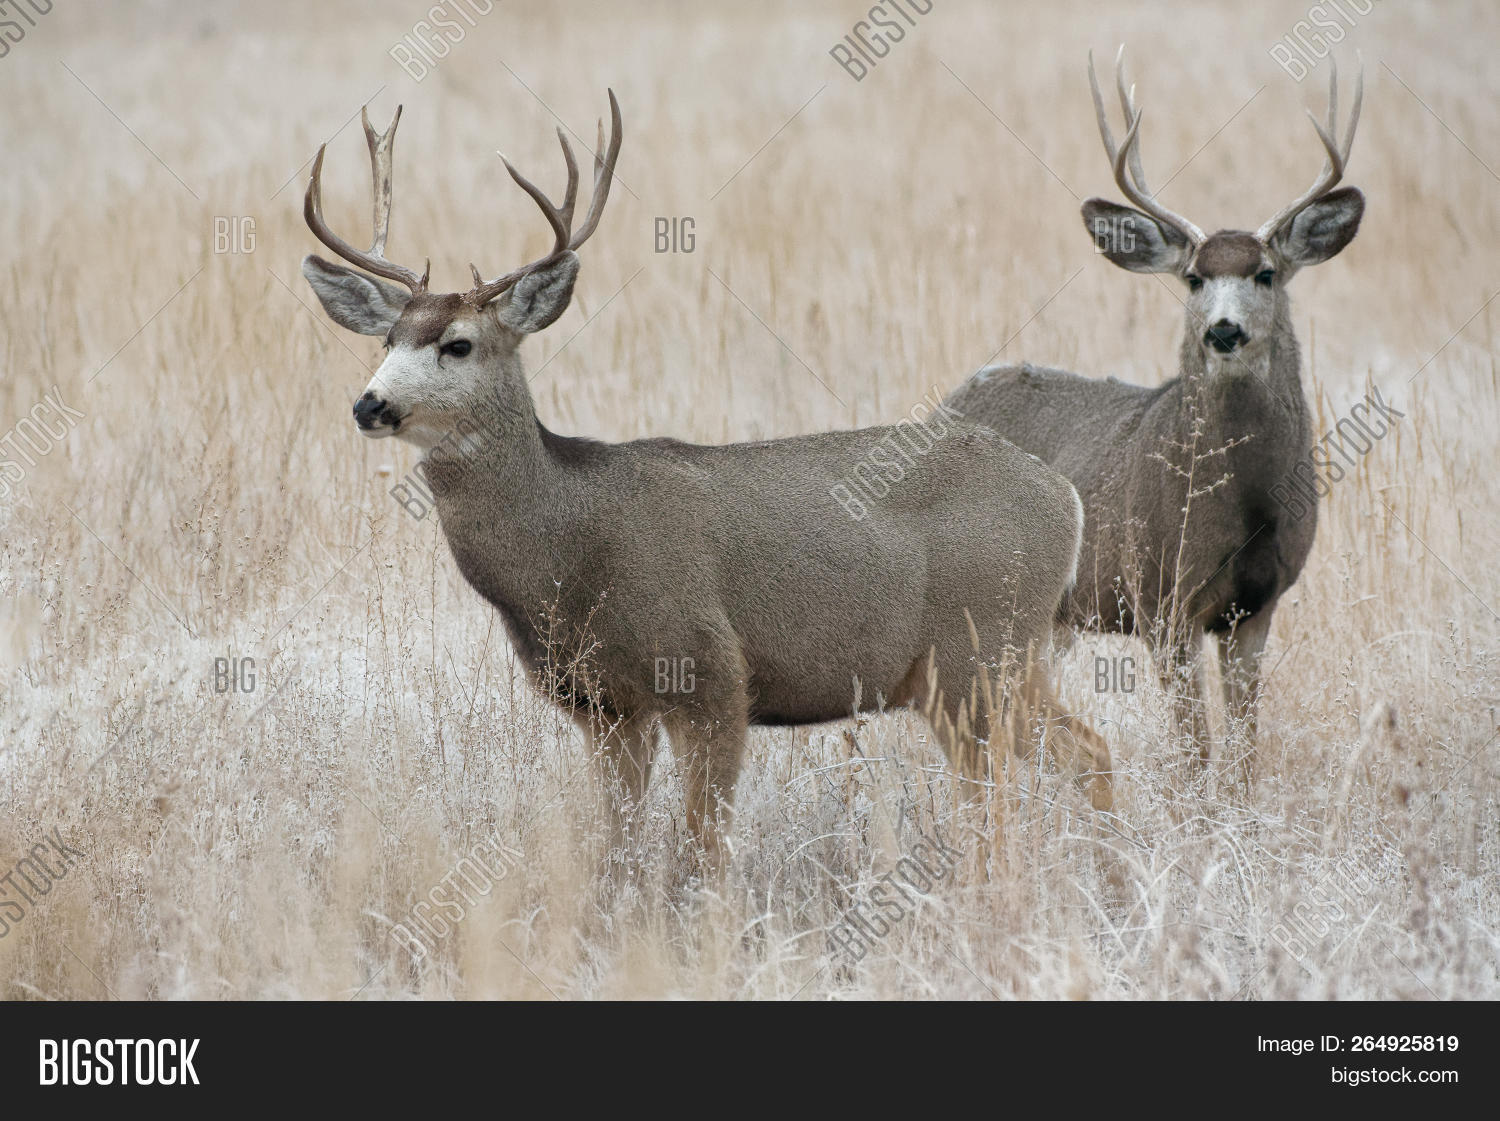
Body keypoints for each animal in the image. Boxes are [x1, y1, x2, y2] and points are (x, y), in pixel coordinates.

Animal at [298, 92, 1111, 871]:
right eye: (388, 338)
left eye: (458, 344)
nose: (370, 404)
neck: (568, 543)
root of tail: (1061, 495)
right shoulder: (604, 706)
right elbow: (615, 844)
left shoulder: (712, 671)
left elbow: (700, 844)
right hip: (967, 671)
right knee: (1055, 765)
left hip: (983, 647)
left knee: (1054, 767)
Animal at [947, 50, 1365, 778]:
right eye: (1194, 277)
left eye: (1265, 273)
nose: (1223, 330)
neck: (1247, 505)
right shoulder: (1158, 596)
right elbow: (1195, 745)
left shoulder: (1258, 605)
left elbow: (1244, 745)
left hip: (1049, 618)